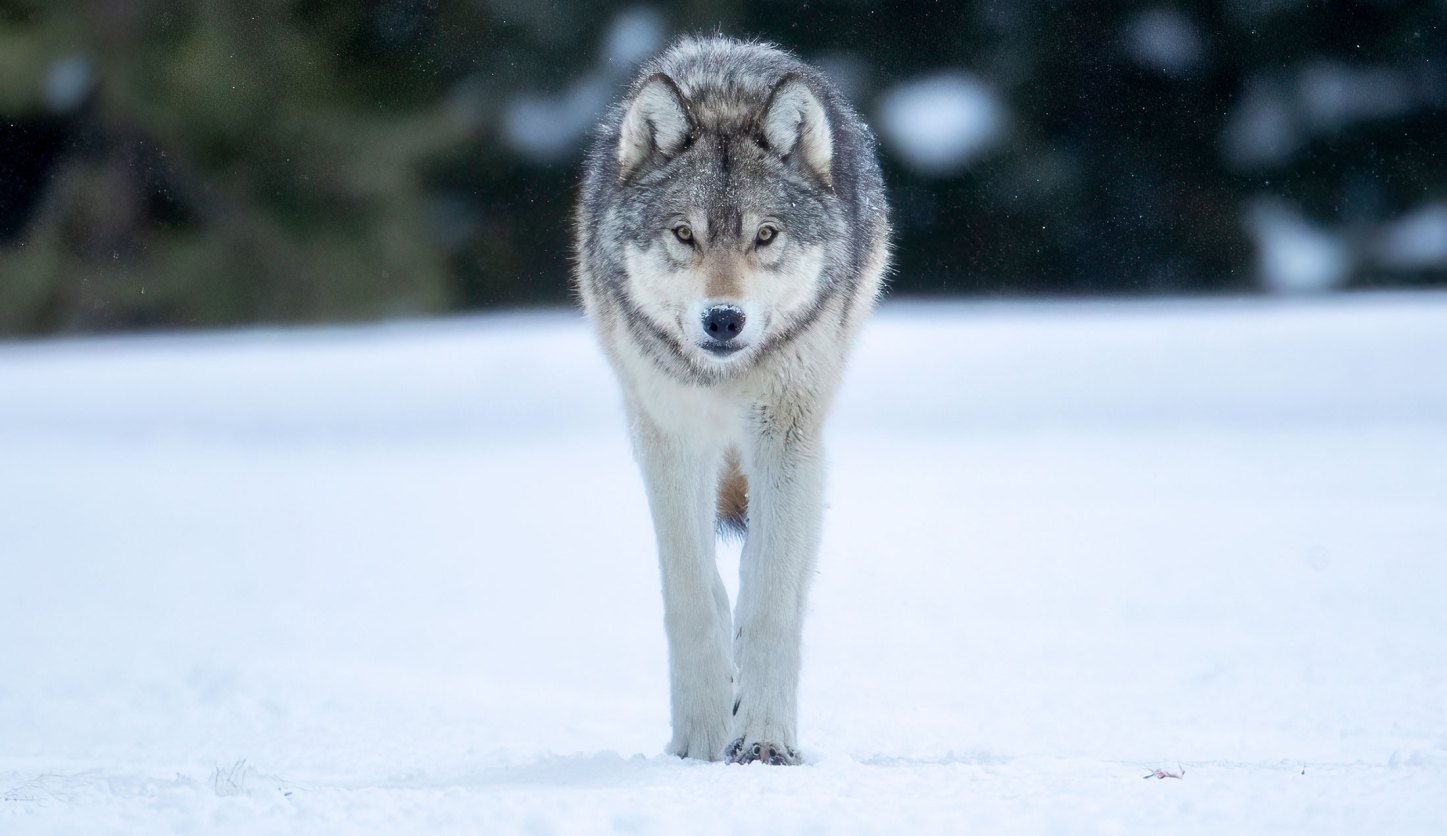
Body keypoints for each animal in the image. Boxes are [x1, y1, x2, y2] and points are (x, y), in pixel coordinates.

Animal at [574, 35, 890, 764]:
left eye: (765, 235)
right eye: (684, 234)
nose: (723, 319)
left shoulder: (785, 434)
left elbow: (769, 603)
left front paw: (766, 739)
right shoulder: (671, 440)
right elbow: (692, 600)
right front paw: (700, 735)